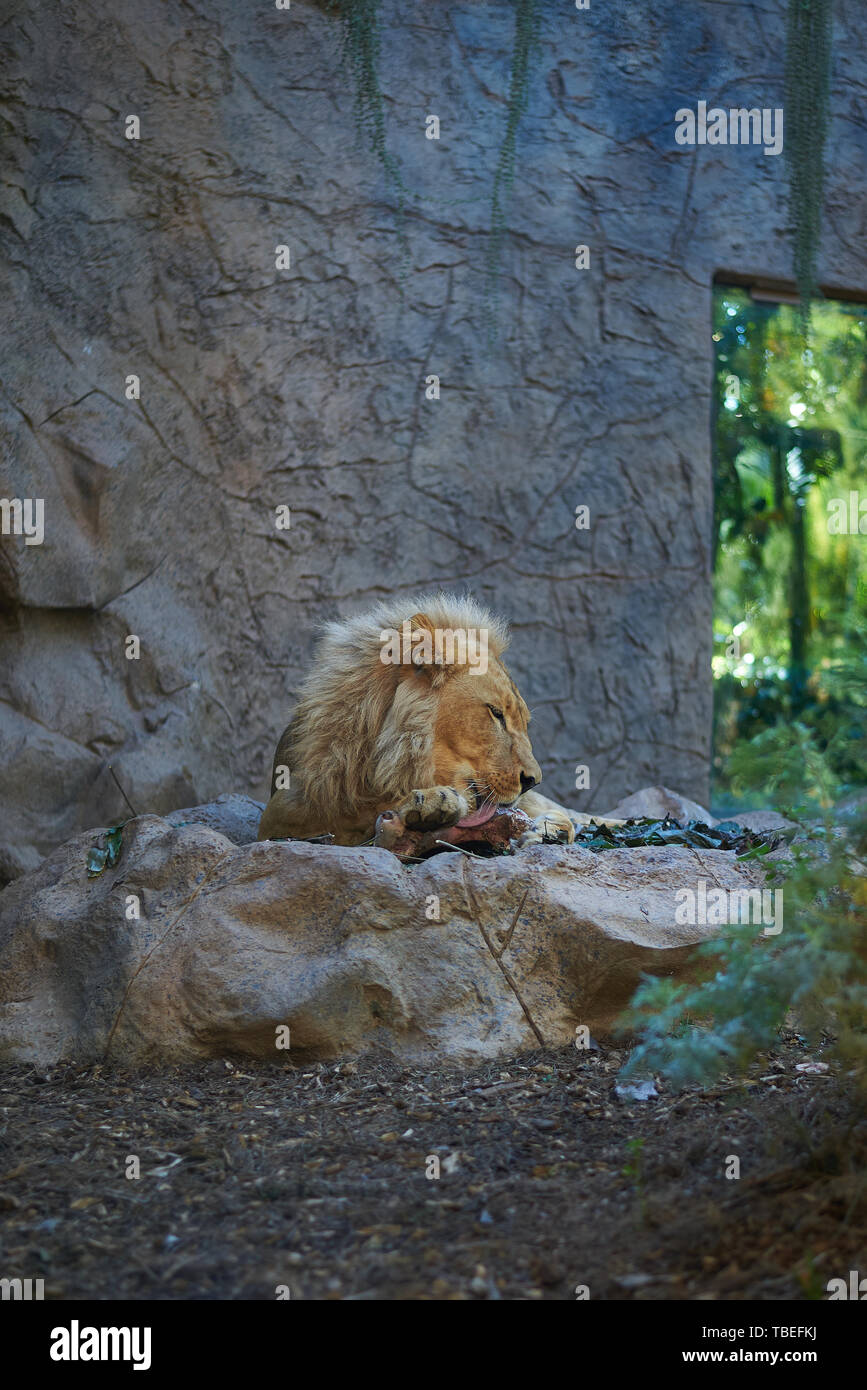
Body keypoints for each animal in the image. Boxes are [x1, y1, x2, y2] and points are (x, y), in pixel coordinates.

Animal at [257, 592, 582, 848]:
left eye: (523, 720)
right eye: (496, 713)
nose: (532, 781)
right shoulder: (284, 808)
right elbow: (348, 815)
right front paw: (431, 804)